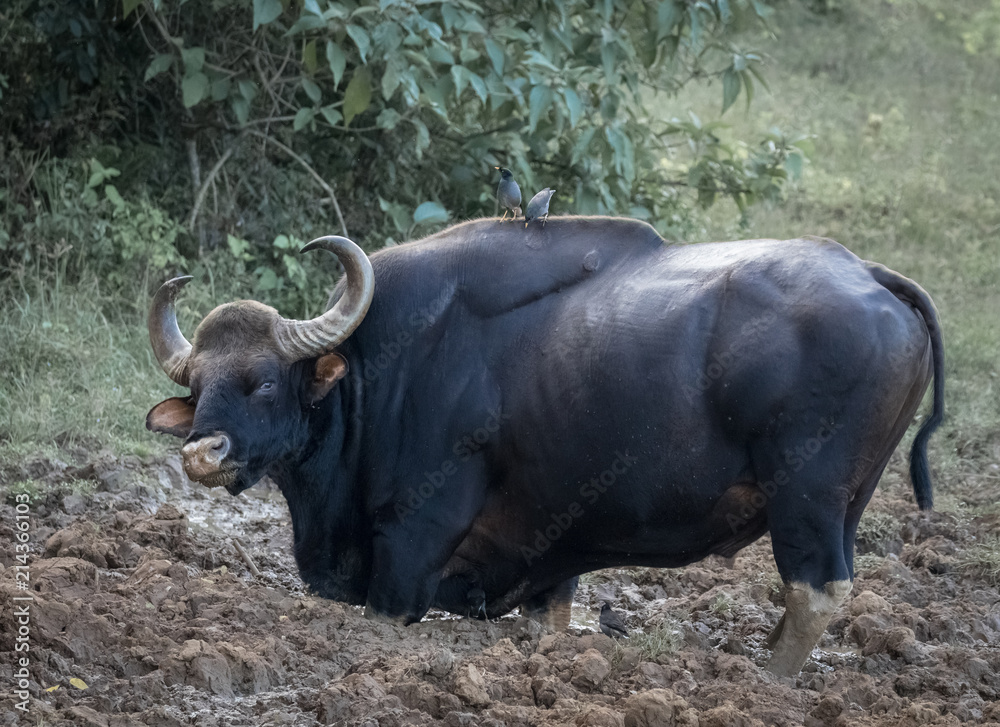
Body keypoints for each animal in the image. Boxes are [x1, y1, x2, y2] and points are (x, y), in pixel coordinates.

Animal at [146, 217, 943, 676]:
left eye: (263, 382)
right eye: (201, 383)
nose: (201, 453)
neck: (381, 370)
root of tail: (872, 276)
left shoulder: (409, 545)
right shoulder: (549, 549)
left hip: (806, 497)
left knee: (817, 588)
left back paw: (765, 681)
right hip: (847, 502)